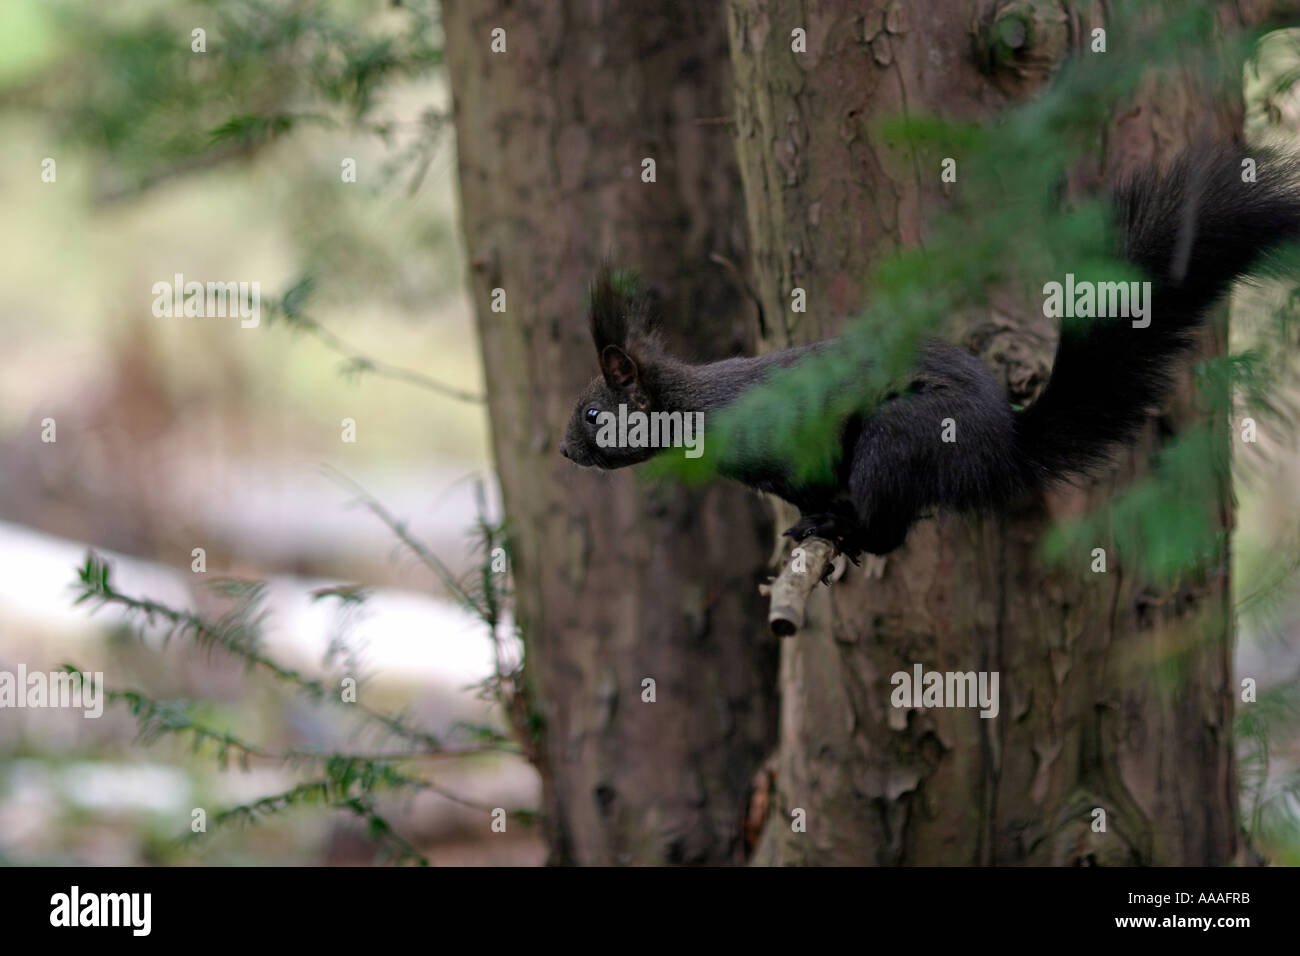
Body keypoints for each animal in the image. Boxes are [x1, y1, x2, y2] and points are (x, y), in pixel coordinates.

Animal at [559, 147, 1300, 558]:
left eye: (595, 414)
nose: (565, 453)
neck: (701, 402)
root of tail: (1003, 445)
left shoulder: (793, 446)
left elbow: (815, 481)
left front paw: (821, 519)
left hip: (901, 437)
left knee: (891, 523)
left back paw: (853, 530)